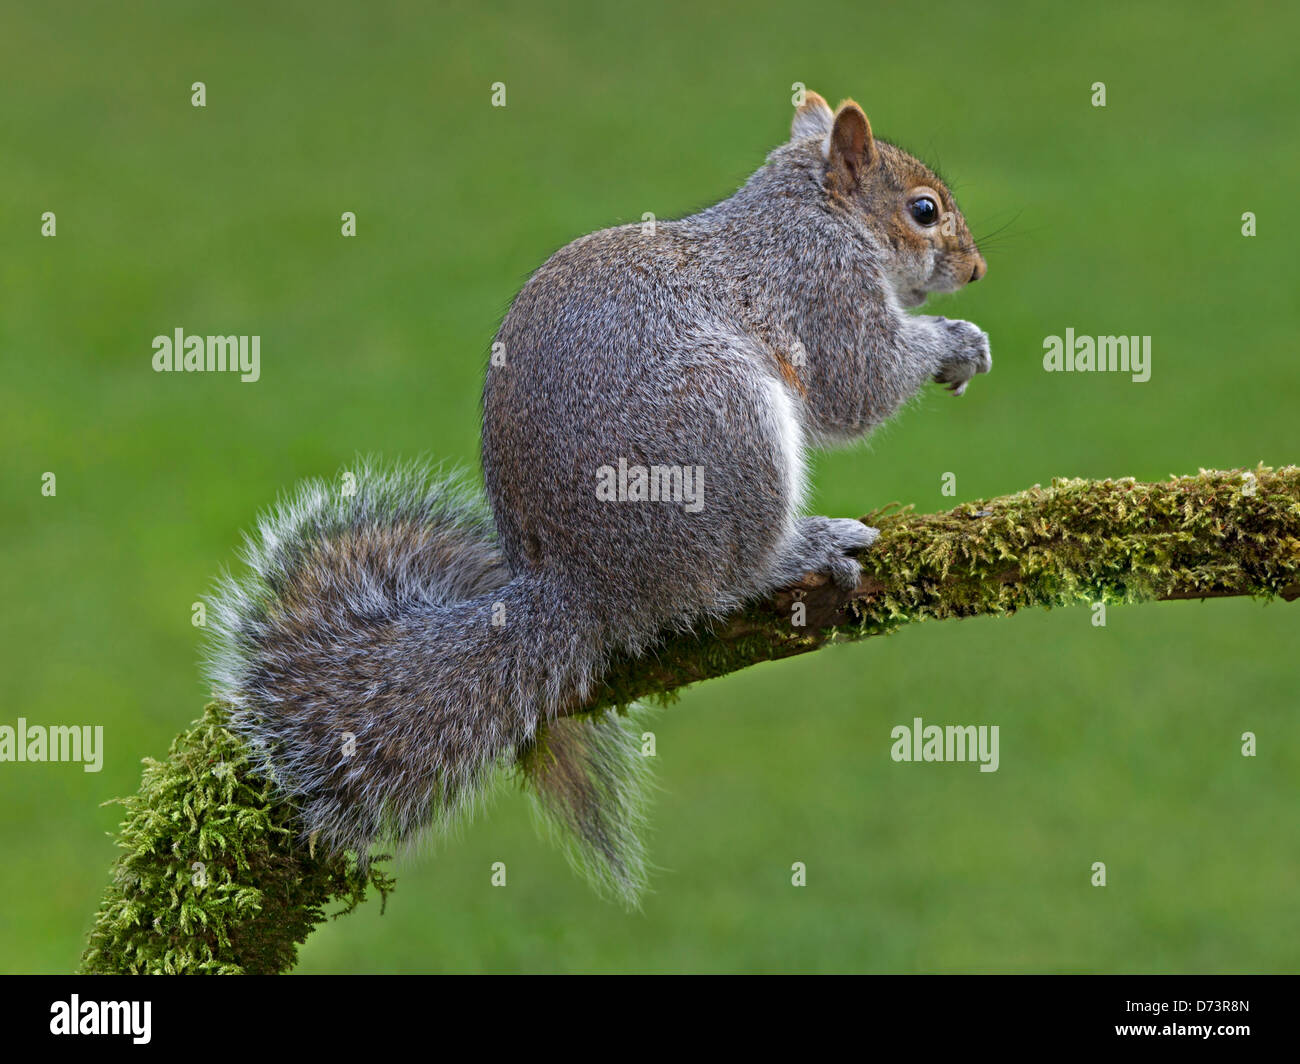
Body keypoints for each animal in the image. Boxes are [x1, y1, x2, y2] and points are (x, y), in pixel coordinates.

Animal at [205, 91, 990, 905]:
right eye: (924, 210)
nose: (978, 268)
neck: (811, 210)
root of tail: (583, 587)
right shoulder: (822, 288)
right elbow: (860, 382)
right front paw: (955, 340)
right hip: (724, 425)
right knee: (727, 579)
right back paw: (802, 548)